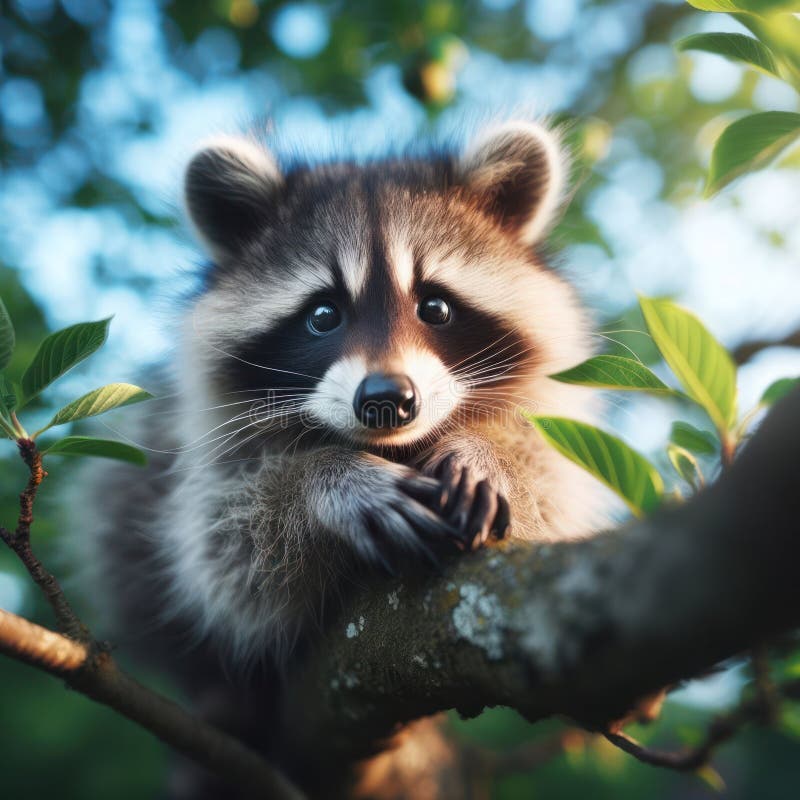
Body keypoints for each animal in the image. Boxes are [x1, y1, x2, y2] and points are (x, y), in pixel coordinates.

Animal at [87, 120, 606, 795]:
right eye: (322, 315)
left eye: (436, 307)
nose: (387, 400)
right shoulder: (208, 440)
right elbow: (224, 544)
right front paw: (326, 486)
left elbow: (555, 481)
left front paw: (491, 455)